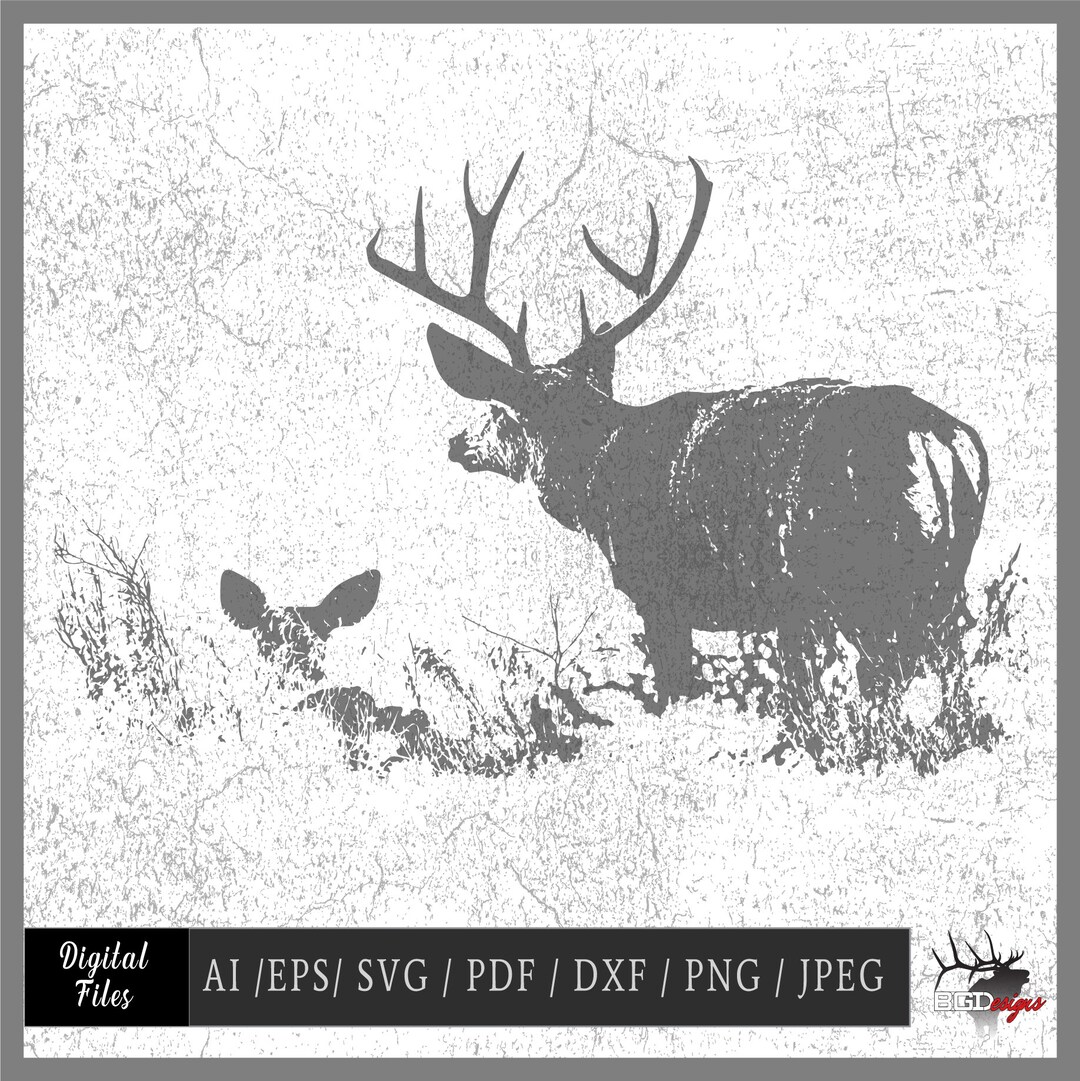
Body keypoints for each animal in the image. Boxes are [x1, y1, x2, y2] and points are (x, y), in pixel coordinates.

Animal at [367, 153, 989, 713]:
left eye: (499, 409)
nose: (456, 443)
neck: (598, 479)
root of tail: (943, 443)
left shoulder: (660, 591)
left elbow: (677, 689)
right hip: (944, 586)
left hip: (870, 583)